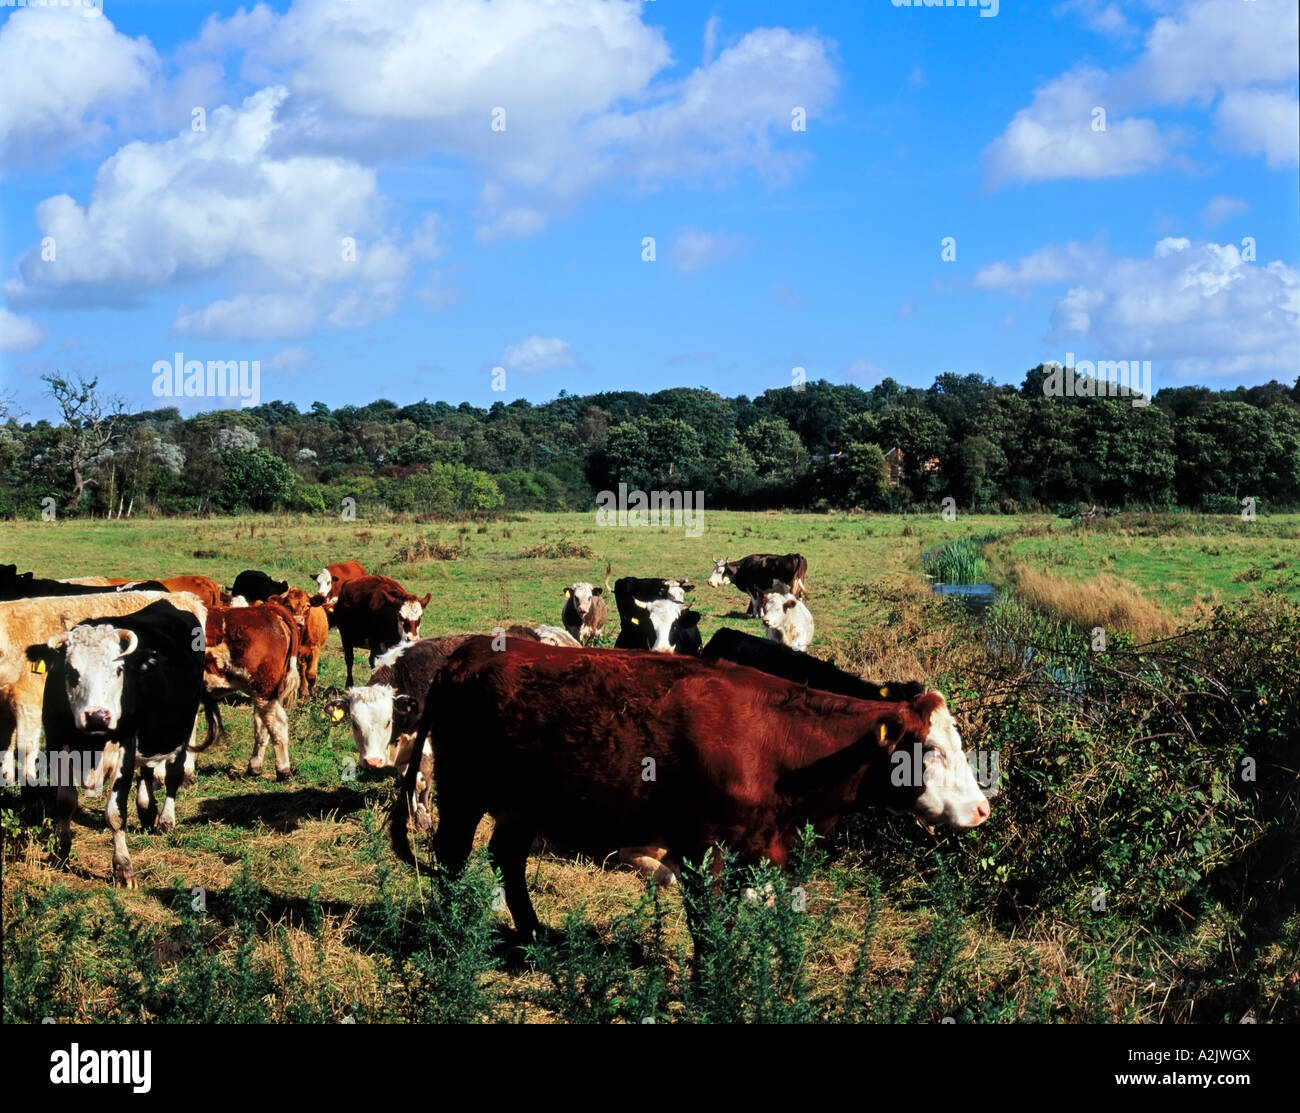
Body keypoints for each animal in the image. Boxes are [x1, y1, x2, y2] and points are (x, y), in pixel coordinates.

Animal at [25, 599, 222, 887]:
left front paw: (123, 868)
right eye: (70, 672)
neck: (91, 745)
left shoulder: (125, 749)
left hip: (181, 733)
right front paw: (61, 852)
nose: (97, 716)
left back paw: (166, 820)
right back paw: (147, 810)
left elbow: (115, 814)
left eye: (118, 670)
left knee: (172, 777)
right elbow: (64, 804)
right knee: (148, 770)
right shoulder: (57, 745)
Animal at [203, 602, 299, 780]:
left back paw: (283, 771)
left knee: (277, 725)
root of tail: (267, 609)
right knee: (262, 727)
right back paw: (255, 767)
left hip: (264, 690)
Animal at [392, 637, 989, 942]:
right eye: (931, 752)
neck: (780, 745)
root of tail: (469, 651)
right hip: (464, 793)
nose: (983, 809)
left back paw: (536, 932)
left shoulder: (756, 850)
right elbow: (708, 929)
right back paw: (452, 933)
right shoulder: (707, 852)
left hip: (523, 803)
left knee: (507, 858)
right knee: (452, 856)